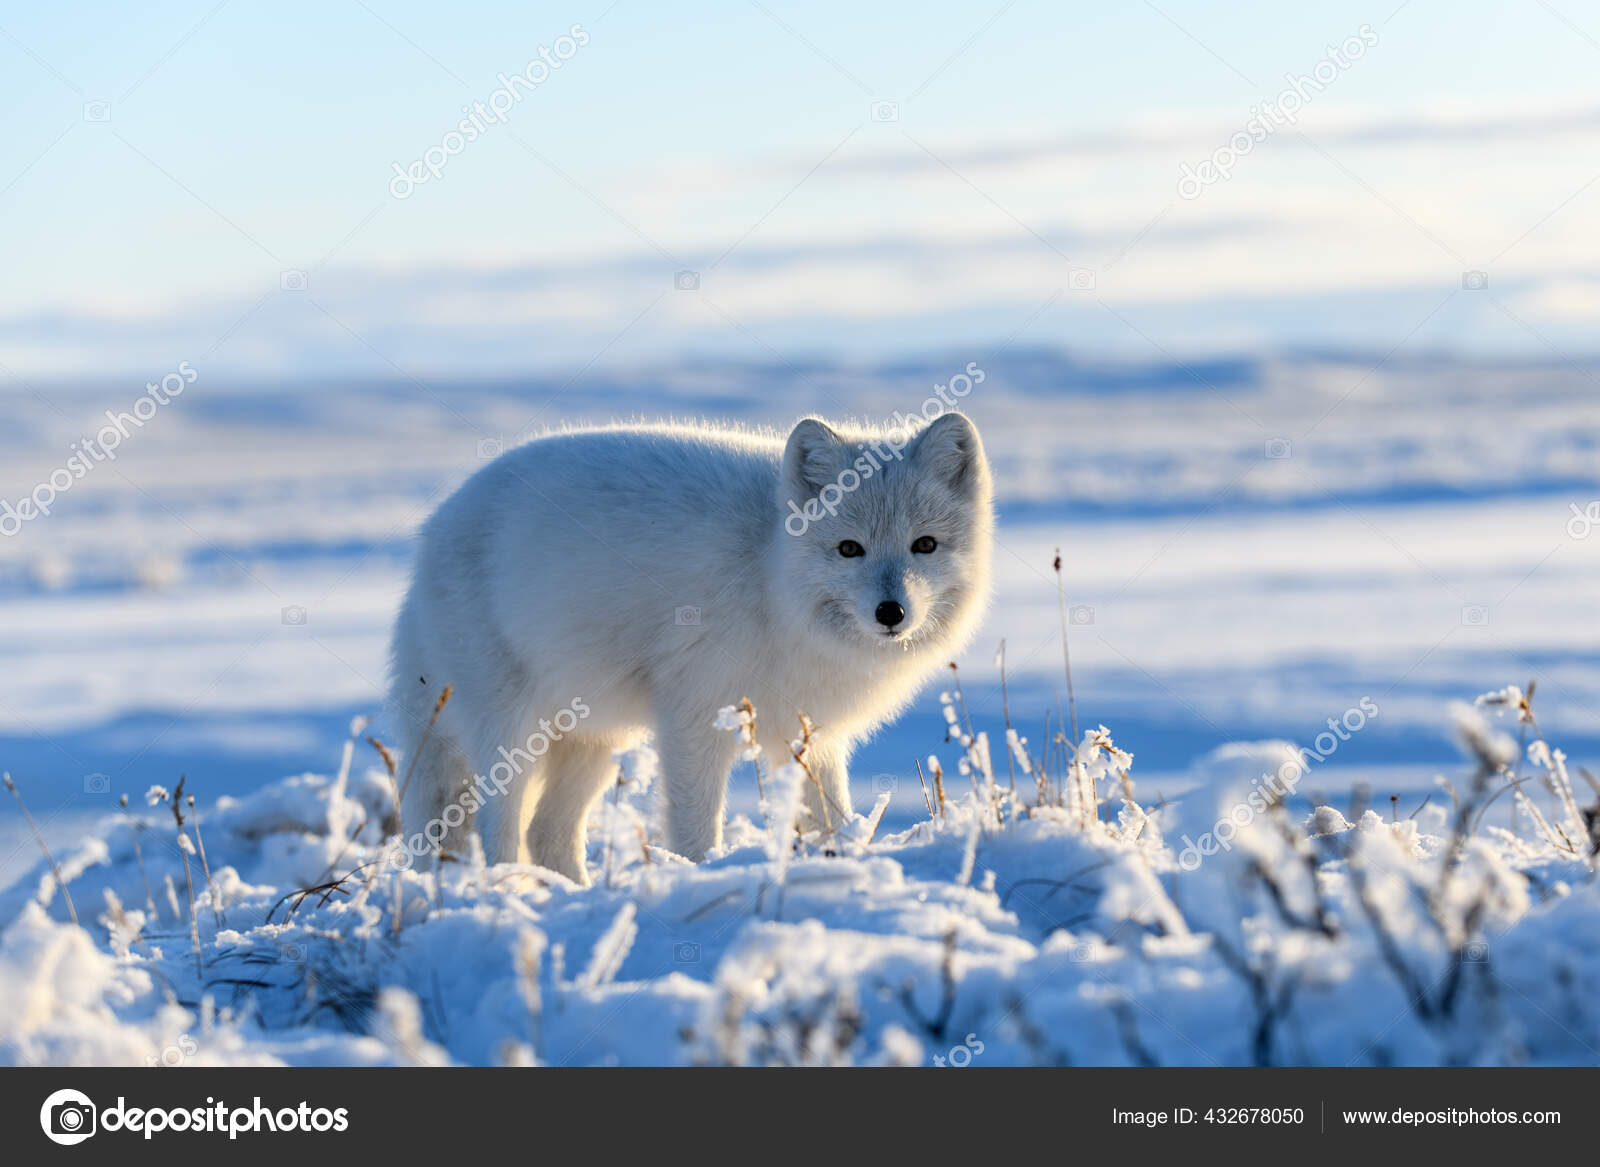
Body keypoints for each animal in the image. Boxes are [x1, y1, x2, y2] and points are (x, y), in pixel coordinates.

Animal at [388, 412, 993, 883]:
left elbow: (833, 818)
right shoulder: (695, 716)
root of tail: (433, 532)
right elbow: (697, 825)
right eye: (849, 549)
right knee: (499, 833)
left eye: (924, 545)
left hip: (593, 738)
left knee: (547, 834)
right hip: (510, 731)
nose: (891, 613)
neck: (770, 574)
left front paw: (846, 863)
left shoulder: (810, 733)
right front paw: (701, 876)